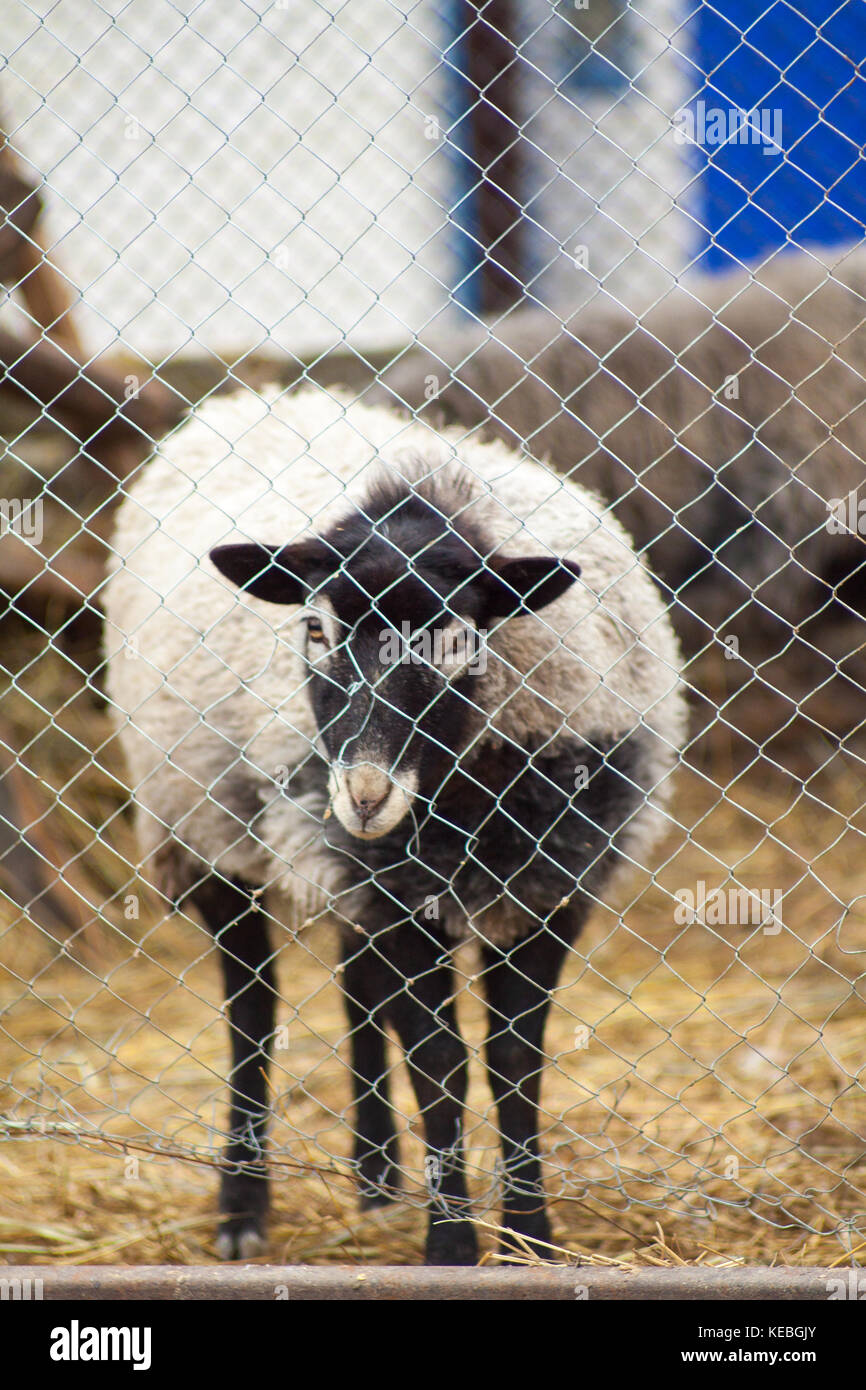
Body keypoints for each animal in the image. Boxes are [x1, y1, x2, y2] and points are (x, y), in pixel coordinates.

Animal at [103, 384, 687, 1264]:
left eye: (455, 633)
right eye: (315, 628)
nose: (366, 795)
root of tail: (253, 396)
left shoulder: (550, 879)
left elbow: (515, 1060)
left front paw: (531, 1238)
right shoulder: (394, 888)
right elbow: (439, 1064)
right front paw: (451, 1246)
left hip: (344, 857)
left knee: (354, 985)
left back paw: (376, 1171)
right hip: (204, 818)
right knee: (253, 1007)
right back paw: (243, 1204)